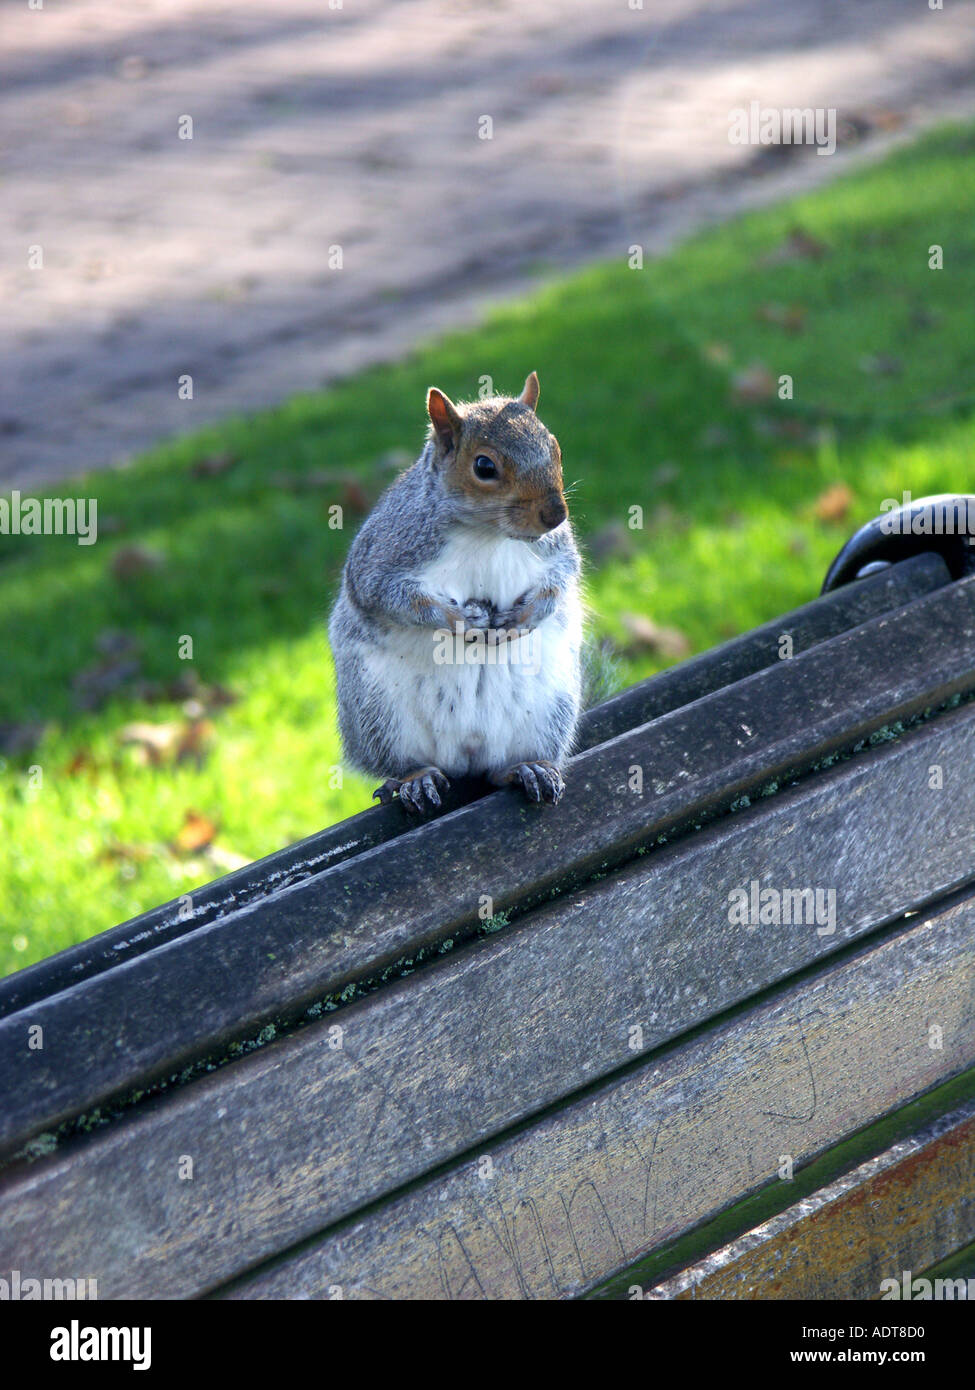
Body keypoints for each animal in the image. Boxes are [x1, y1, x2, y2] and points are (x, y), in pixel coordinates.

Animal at [328, 371, 583, 814]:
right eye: (484, 466)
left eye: (554, 447)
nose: (555, 514)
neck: (487, 534)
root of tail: (467, 755)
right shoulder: (384, 556)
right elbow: (391, 597)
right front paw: (460, 620)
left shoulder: (555, 550)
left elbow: (563, 577)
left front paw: (526, 617)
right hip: (379, 714)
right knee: (405, 761)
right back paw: (415, 779)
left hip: (551, 709)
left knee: (501, 770)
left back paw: (528, 767)